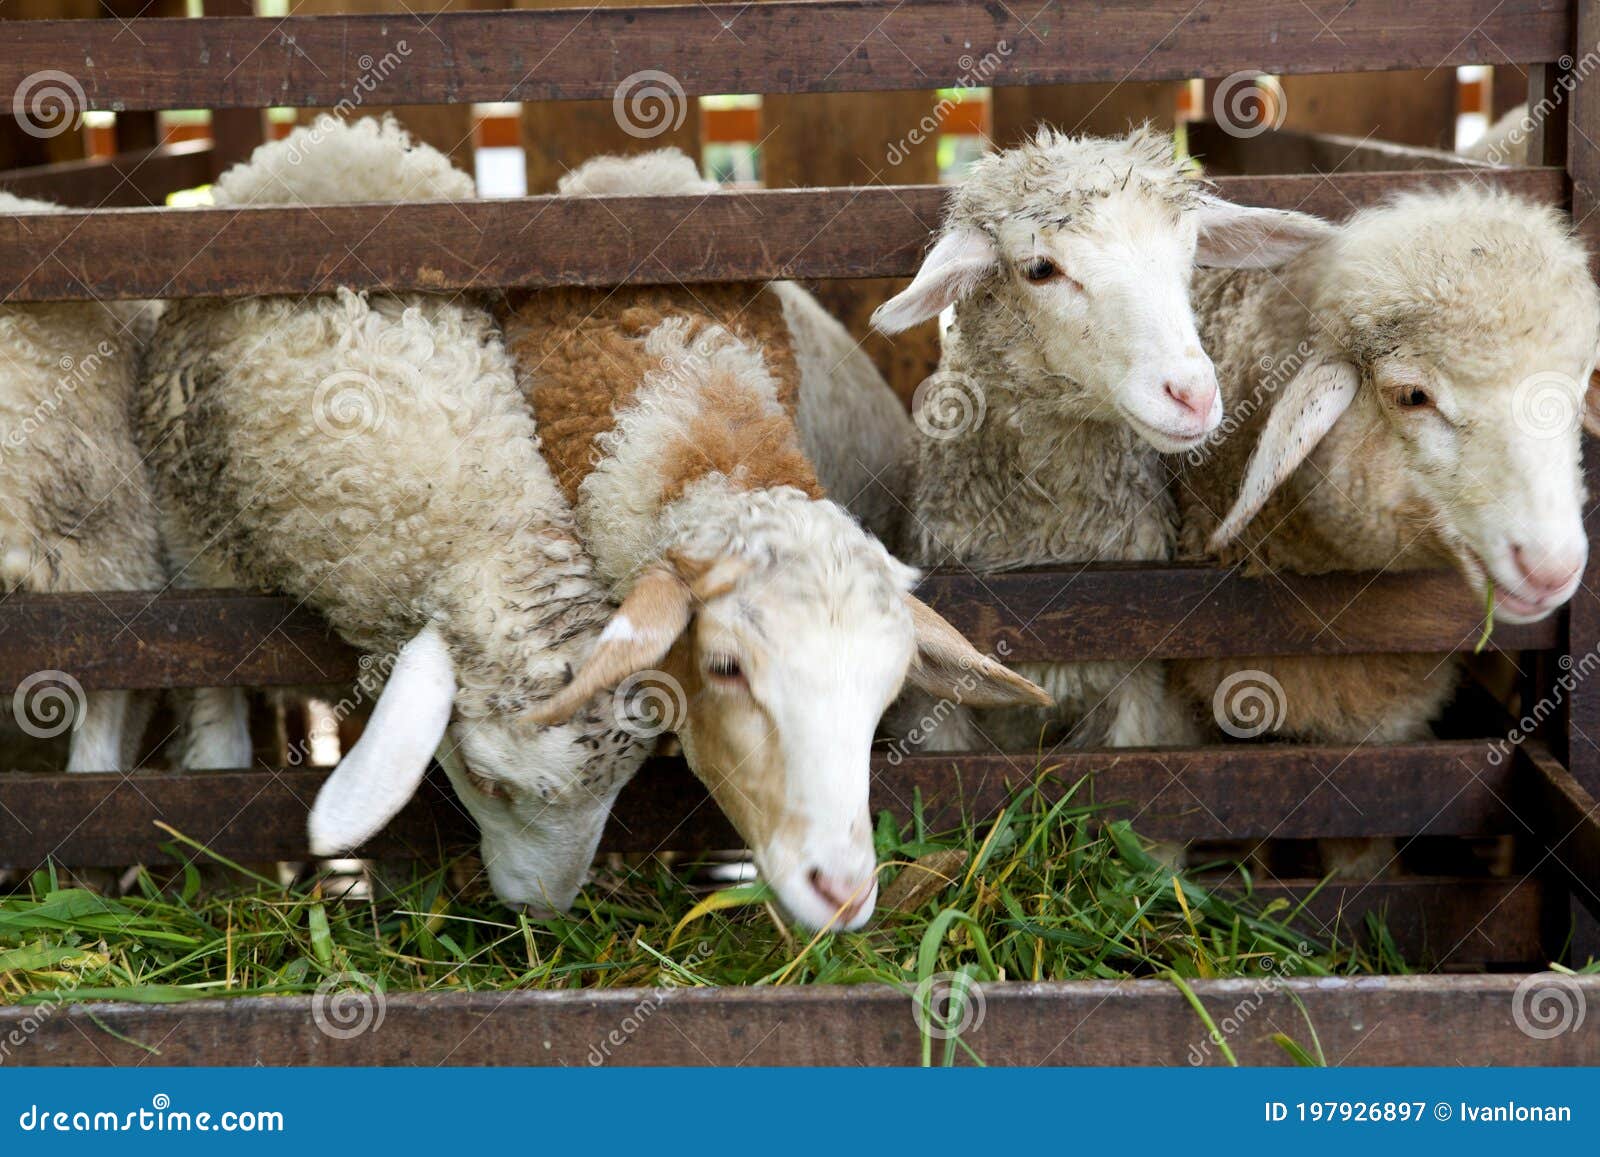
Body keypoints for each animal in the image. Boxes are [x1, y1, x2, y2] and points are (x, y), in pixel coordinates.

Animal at [137, 116, 654, 914]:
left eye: (626, 782)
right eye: (487, 782)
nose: (544, 911)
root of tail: (334, 135)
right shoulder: (196, 574)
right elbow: (217, 734)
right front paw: (236, 886)